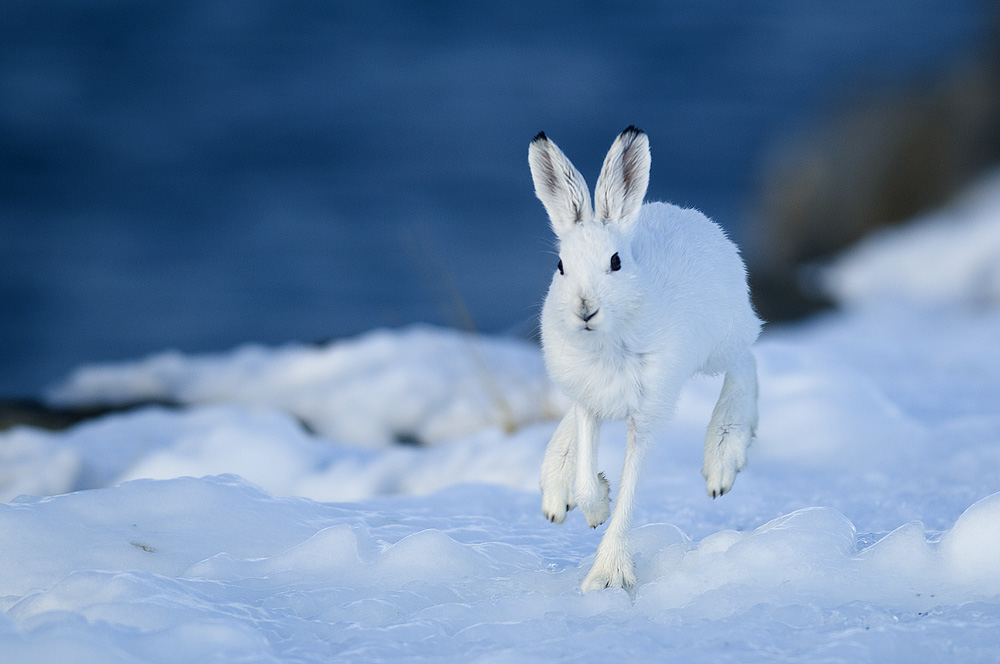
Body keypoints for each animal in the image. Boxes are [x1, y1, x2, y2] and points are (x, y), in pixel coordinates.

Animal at [529, 126, 762, 592]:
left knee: (745, 360)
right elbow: (586, 473)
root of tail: (694, 218)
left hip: (721, 342)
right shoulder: (588, 403)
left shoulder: (647, 415)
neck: (607, 341)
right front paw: (595, 505)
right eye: (561, 266)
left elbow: (632, 486)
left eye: (616, 262)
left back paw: (723, 456)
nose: (585, 309)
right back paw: (555, 488)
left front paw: (607, 575)